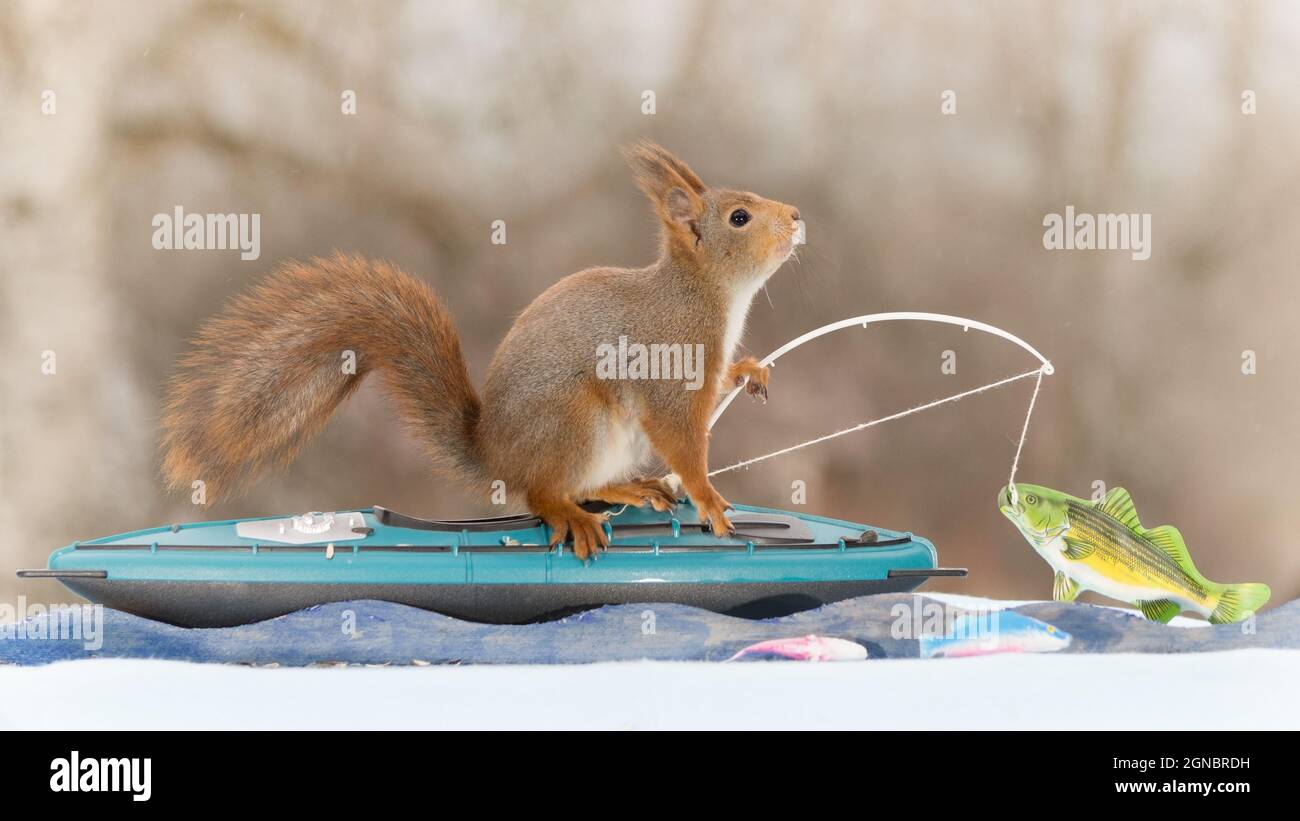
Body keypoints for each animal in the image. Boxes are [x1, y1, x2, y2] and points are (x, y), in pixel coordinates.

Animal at [160, 142, 802, 560]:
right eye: (739, 217)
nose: (796, 216)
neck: (708, 295)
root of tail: (496, 451)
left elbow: (722, 385)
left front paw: (750, 369)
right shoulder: (672, 367)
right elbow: (684, 445)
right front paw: (711, 501)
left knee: (579, 485)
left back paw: (628, 488)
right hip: (574, 420)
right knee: (544, 493)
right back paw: (575, 516)